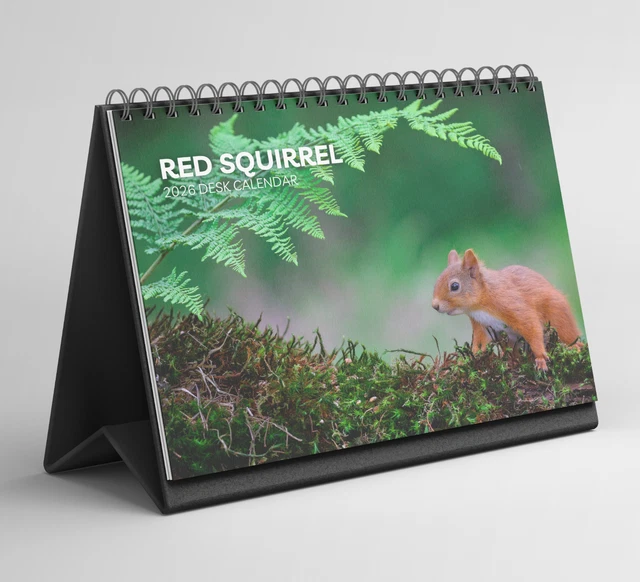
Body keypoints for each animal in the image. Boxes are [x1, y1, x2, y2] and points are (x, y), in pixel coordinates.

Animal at [431, 249, 582, 371]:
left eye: (455, 286)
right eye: (437, 281)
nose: (435, 306)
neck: (479, 306)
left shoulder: (513, 305)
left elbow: (532, 328)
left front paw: (540, 357)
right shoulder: (482, 325)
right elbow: (480, 344)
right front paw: (466, 361)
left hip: (558, 317)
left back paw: (574, 346)